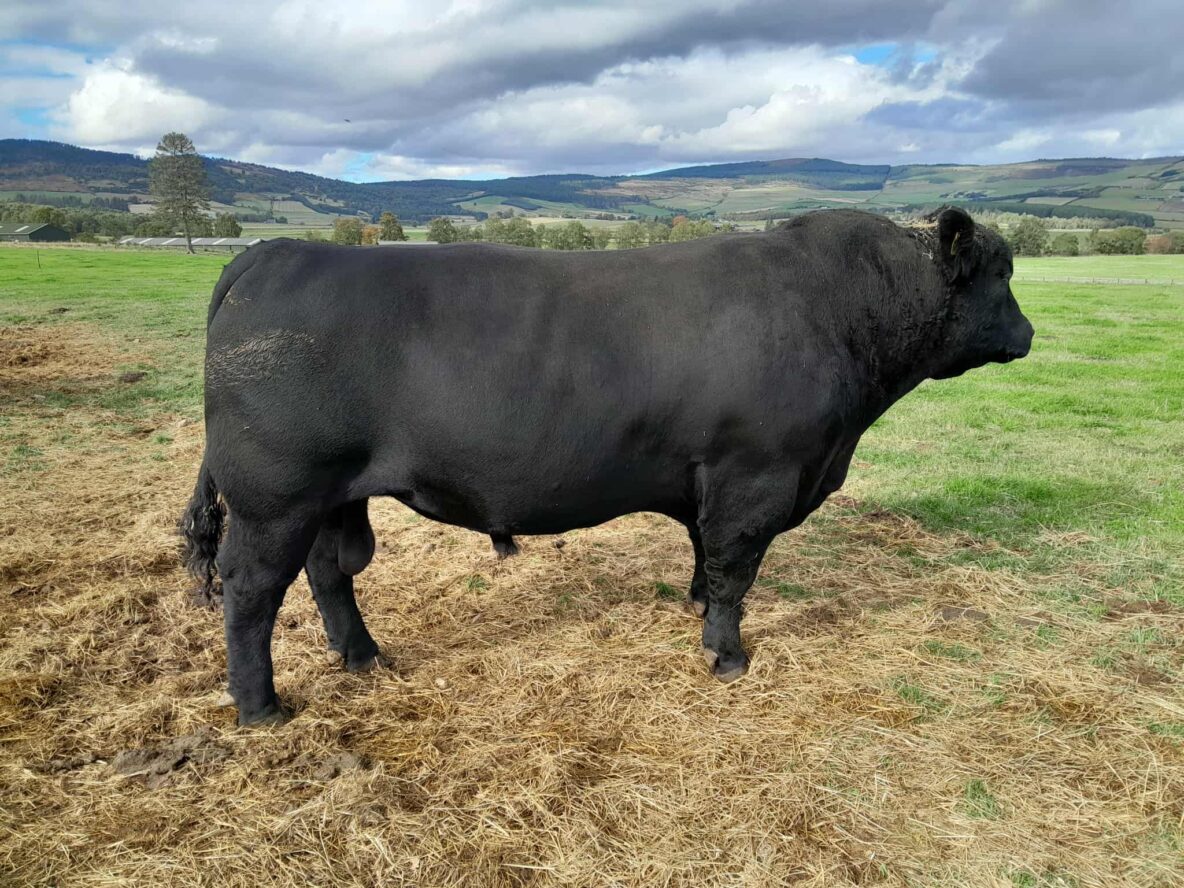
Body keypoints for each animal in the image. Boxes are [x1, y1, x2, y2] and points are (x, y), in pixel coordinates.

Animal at [181, 207, 1033, 725]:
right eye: (1001, 274)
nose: (1027, 335)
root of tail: (271, 252)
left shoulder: (707, 478)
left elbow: (704, 555)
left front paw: (695, 608)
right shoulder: (755, 476)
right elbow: (735, 568)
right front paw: (726, 654)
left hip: (328, 497)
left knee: (330, 573)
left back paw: (362, 657)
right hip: (275, 497)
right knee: (252, 591)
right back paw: (260, 707)